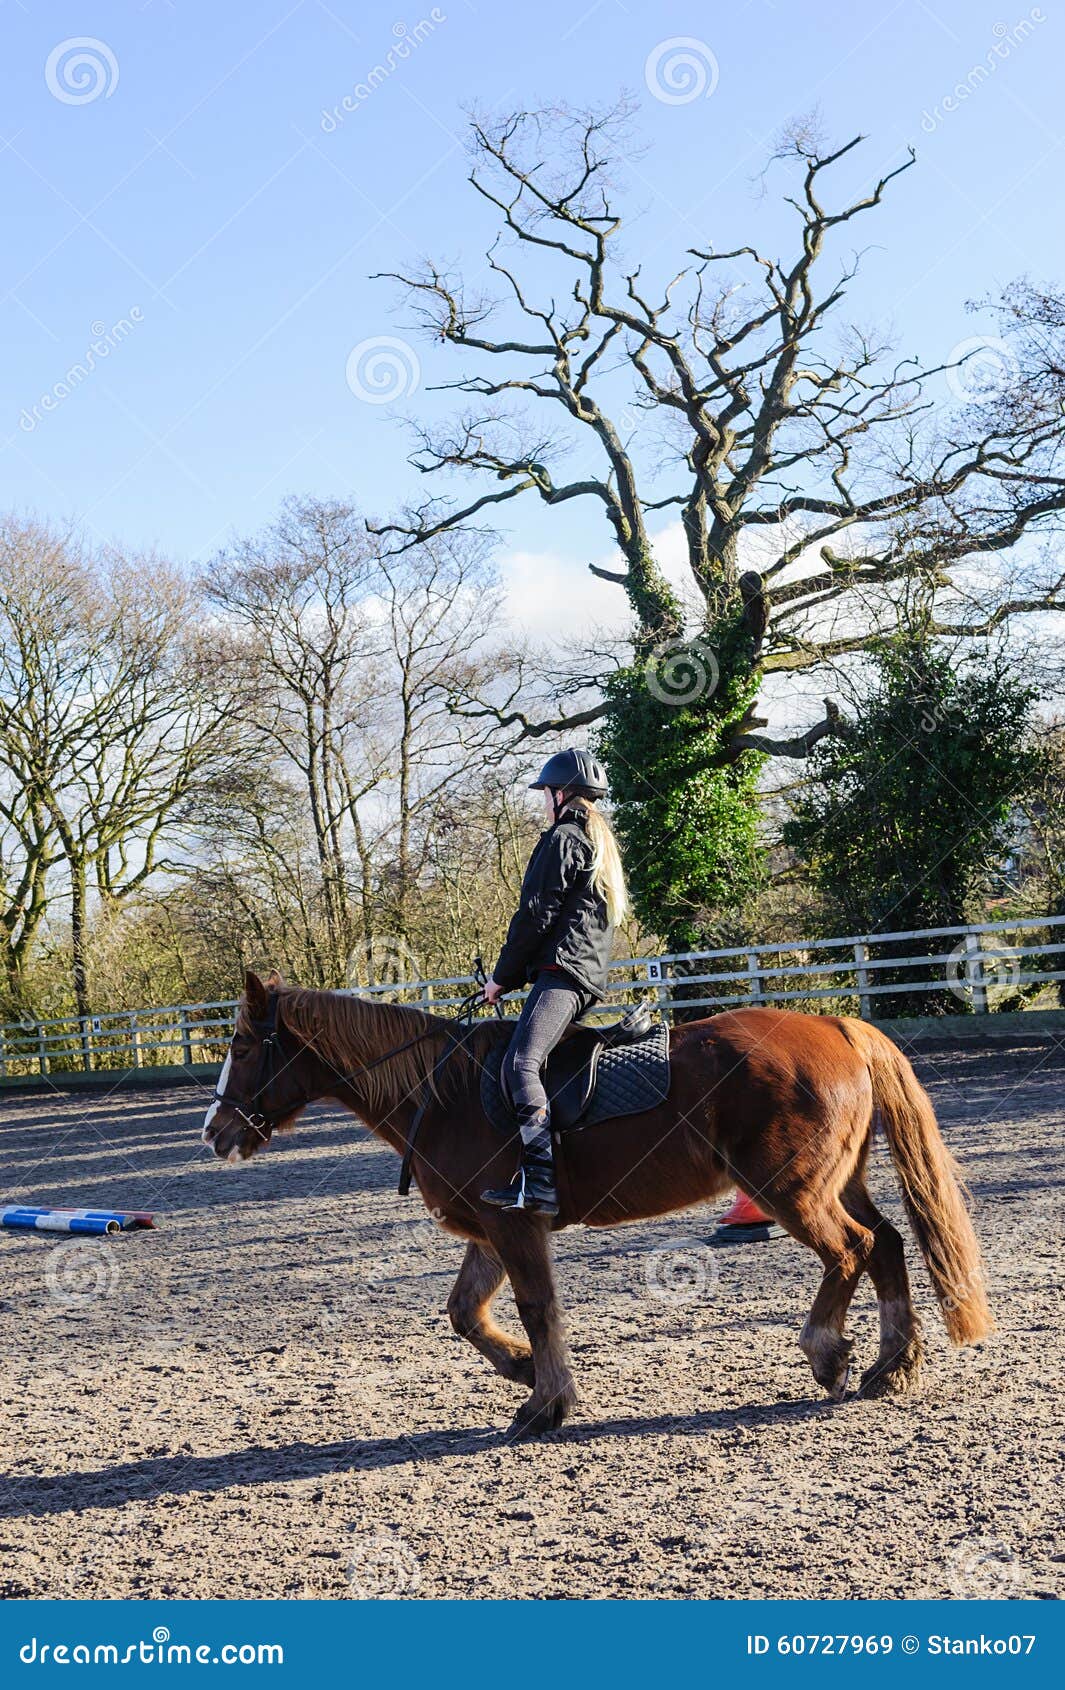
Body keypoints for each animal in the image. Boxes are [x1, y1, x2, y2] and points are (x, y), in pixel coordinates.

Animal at [201, 969, 993, 1437]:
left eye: (241, 1045)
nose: (213, 1132)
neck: (443, 1092)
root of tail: (835, 1027)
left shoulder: (514, 1223)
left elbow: (536, 1307)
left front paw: (545, 1402)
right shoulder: (489, 1231)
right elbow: (465, 1313)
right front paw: (526, 1371)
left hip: (791, 1191)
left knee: (852, 1250)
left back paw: (828, 1353)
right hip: (835, 1179)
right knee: (886, 1244)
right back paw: (892, 1366)